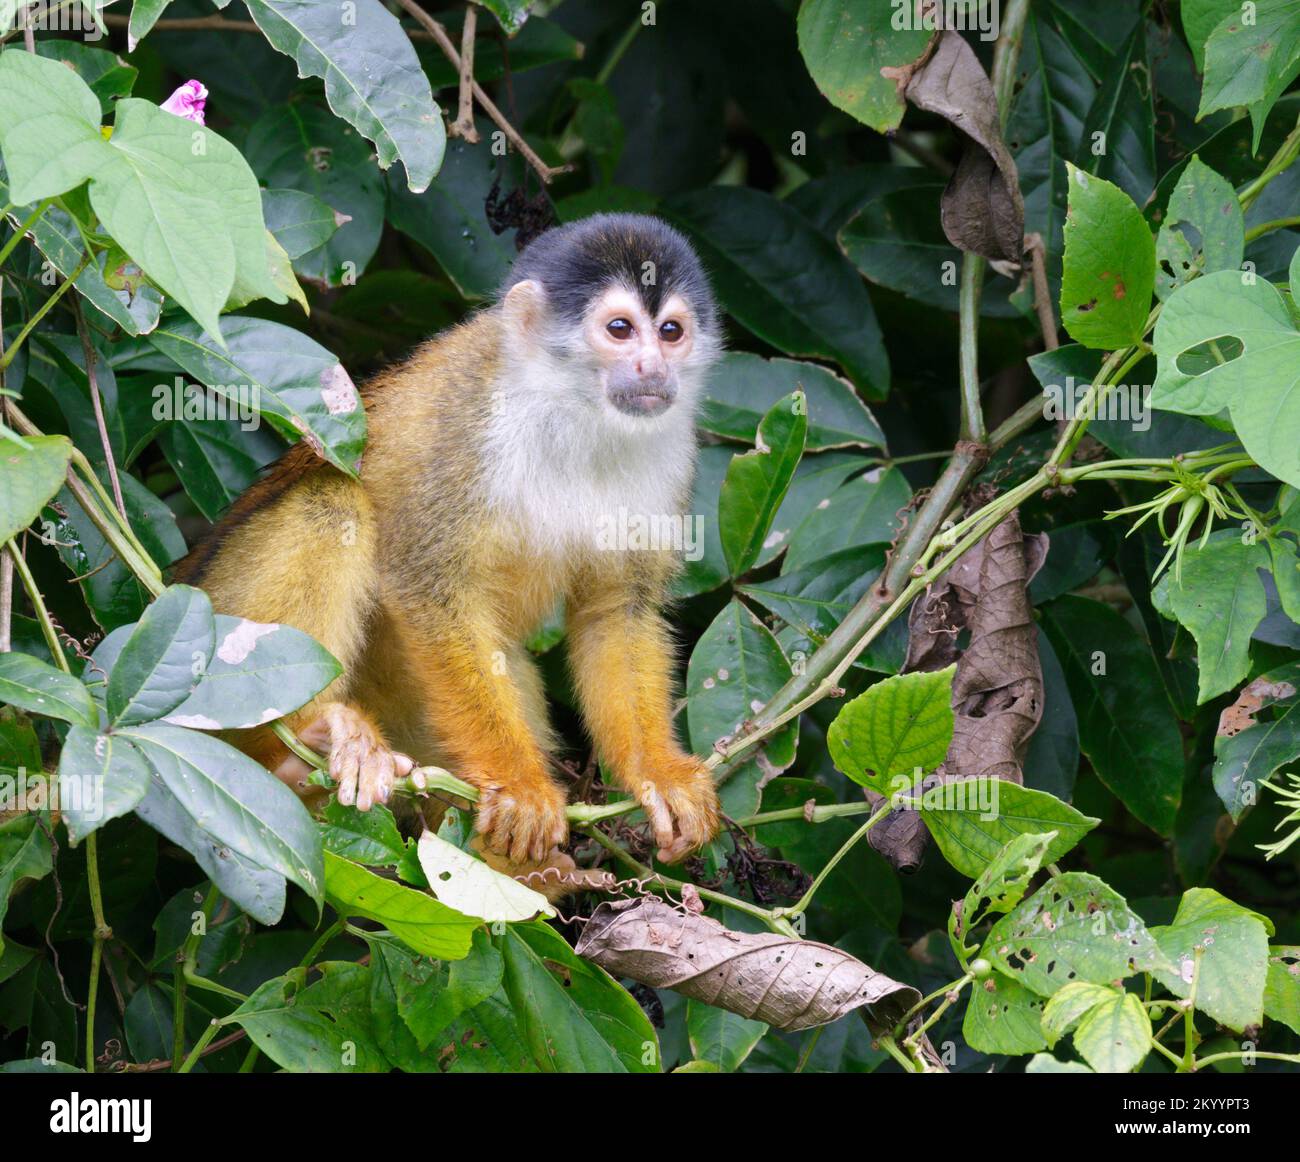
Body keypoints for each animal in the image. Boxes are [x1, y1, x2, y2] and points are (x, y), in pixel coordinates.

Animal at [174, 213, 722, 869]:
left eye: (670, 332)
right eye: (620, 329)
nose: (653, 370)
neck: (573, 409)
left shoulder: (671, 450)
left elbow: (616, 610)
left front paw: (657, 773)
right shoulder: (464, 424)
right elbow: (429, 585)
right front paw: (519, 785)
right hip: (208, 624)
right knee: (327, 505)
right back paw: (292, 748)